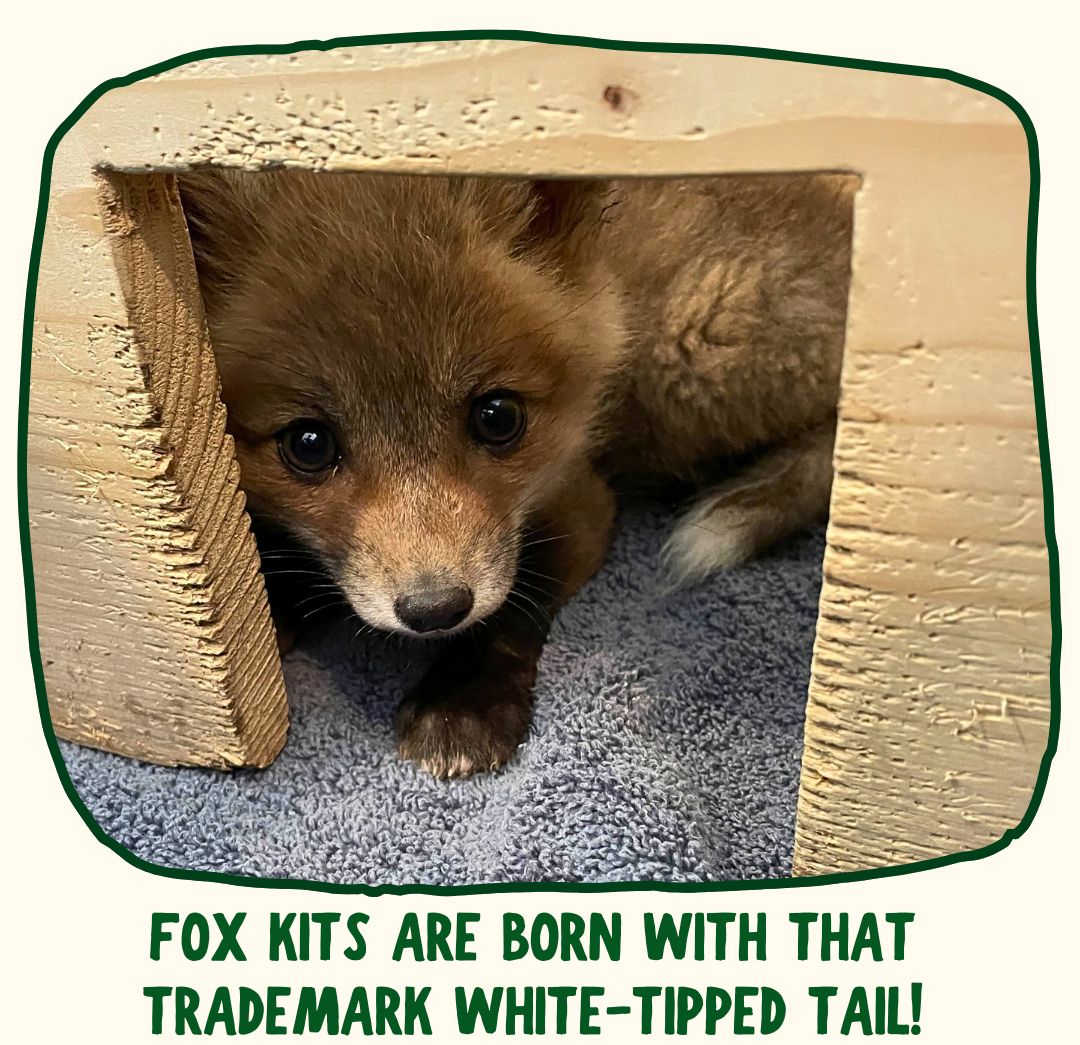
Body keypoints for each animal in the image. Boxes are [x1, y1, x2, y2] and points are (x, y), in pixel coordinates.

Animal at [178, 168, 855, 779]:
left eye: (498, 416)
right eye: (309, 445)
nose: (434, 610)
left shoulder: (582, 498)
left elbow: (516, 601)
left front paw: (464, 705)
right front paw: (269, 616)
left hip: (694, 357)